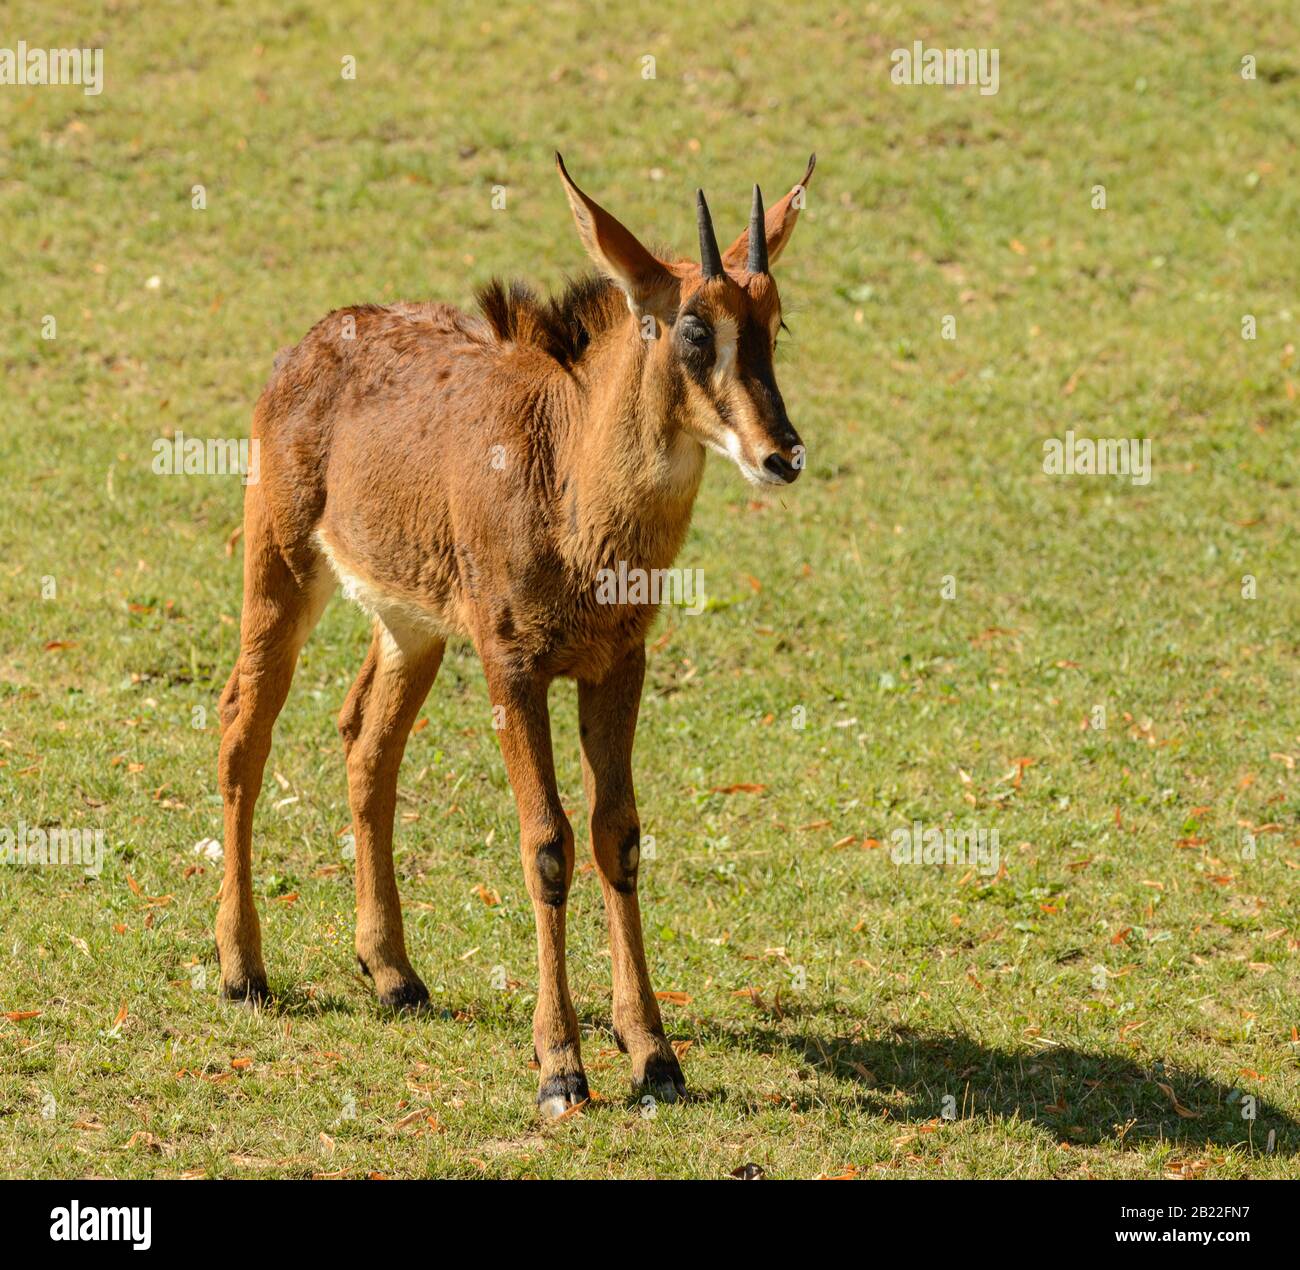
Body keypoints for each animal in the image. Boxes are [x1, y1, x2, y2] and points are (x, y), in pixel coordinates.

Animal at [215, 153, 815, 1115]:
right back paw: (243, 970)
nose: (780, 454)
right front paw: (560, 1065)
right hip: (280, 560)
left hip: (413, 623)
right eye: (693, 329)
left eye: (774, 321)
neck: (570, 478)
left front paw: (653, 1053)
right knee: (245, 721)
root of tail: (311, 342)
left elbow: (618, 834)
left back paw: (393, 973)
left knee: (366, 742)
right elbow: (548, 844)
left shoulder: (618, 662)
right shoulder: (514, 666)